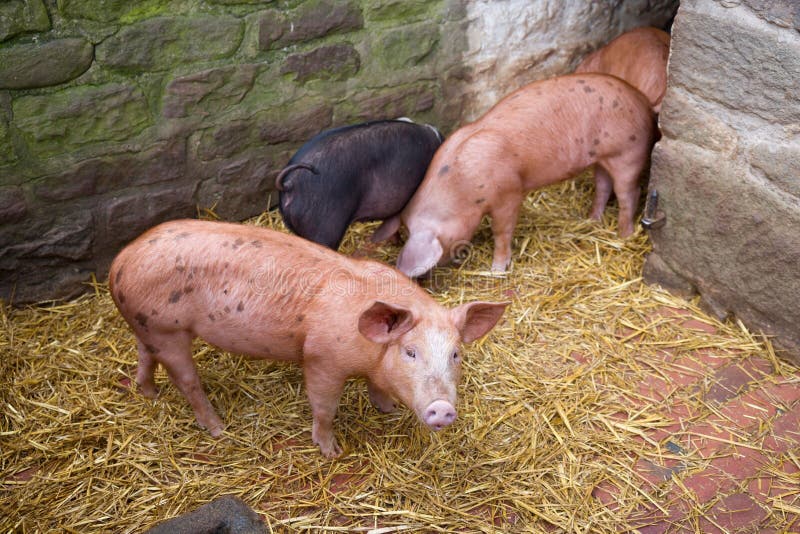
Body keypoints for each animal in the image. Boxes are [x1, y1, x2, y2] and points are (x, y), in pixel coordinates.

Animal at [108, 219, 507, 458]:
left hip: (148, 327)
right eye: (410, 352)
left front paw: (388, 409)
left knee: (145, 355)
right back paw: (219, 429)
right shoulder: (321, 359)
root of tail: (119, 263)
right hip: (168, 330)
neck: (369, 353)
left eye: (455, 354)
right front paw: (332, 451)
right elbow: (324, 408)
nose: (443, 408)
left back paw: (149, 393)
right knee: (187, 380)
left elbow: (377, 388)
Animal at [372, 73, 656, 277]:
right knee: (603, 185)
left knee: (630, 193)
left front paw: (497, 270)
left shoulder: (508, 193)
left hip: (627, 152)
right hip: (602, 159)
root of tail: (644, 102)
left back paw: (623, 235)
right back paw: (591, 220)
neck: (461, 188)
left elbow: (502, 231)